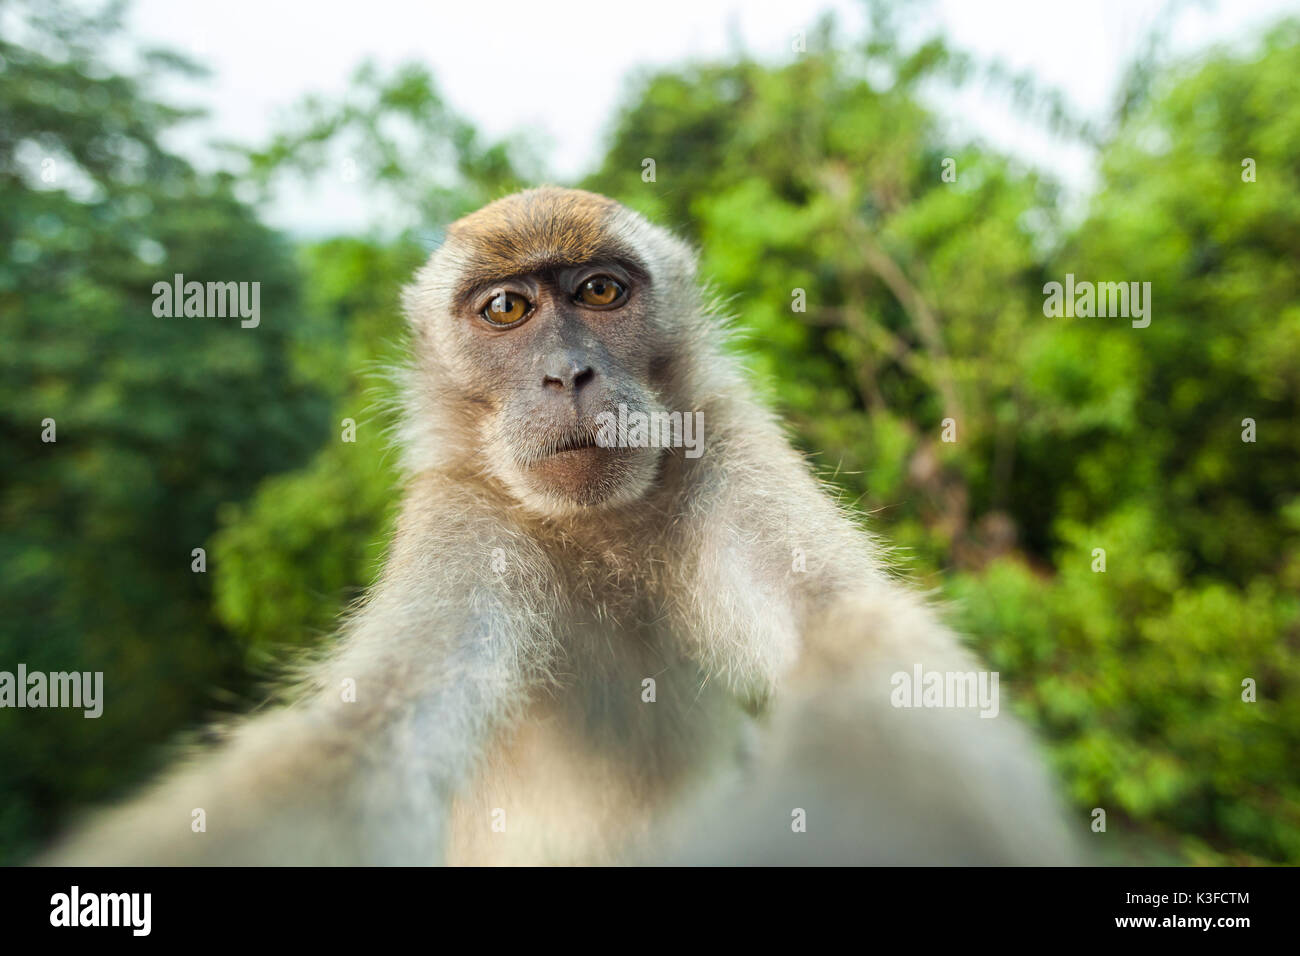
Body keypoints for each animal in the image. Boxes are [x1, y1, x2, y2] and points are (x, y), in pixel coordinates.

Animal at [42, 187, 1077, 866]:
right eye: (507, 307)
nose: (567, 375)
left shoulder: (721, 447)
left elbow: (851, 630)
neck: (597, 528)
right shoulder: (467, 521)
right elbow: (363, 735)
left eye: (602, 292)